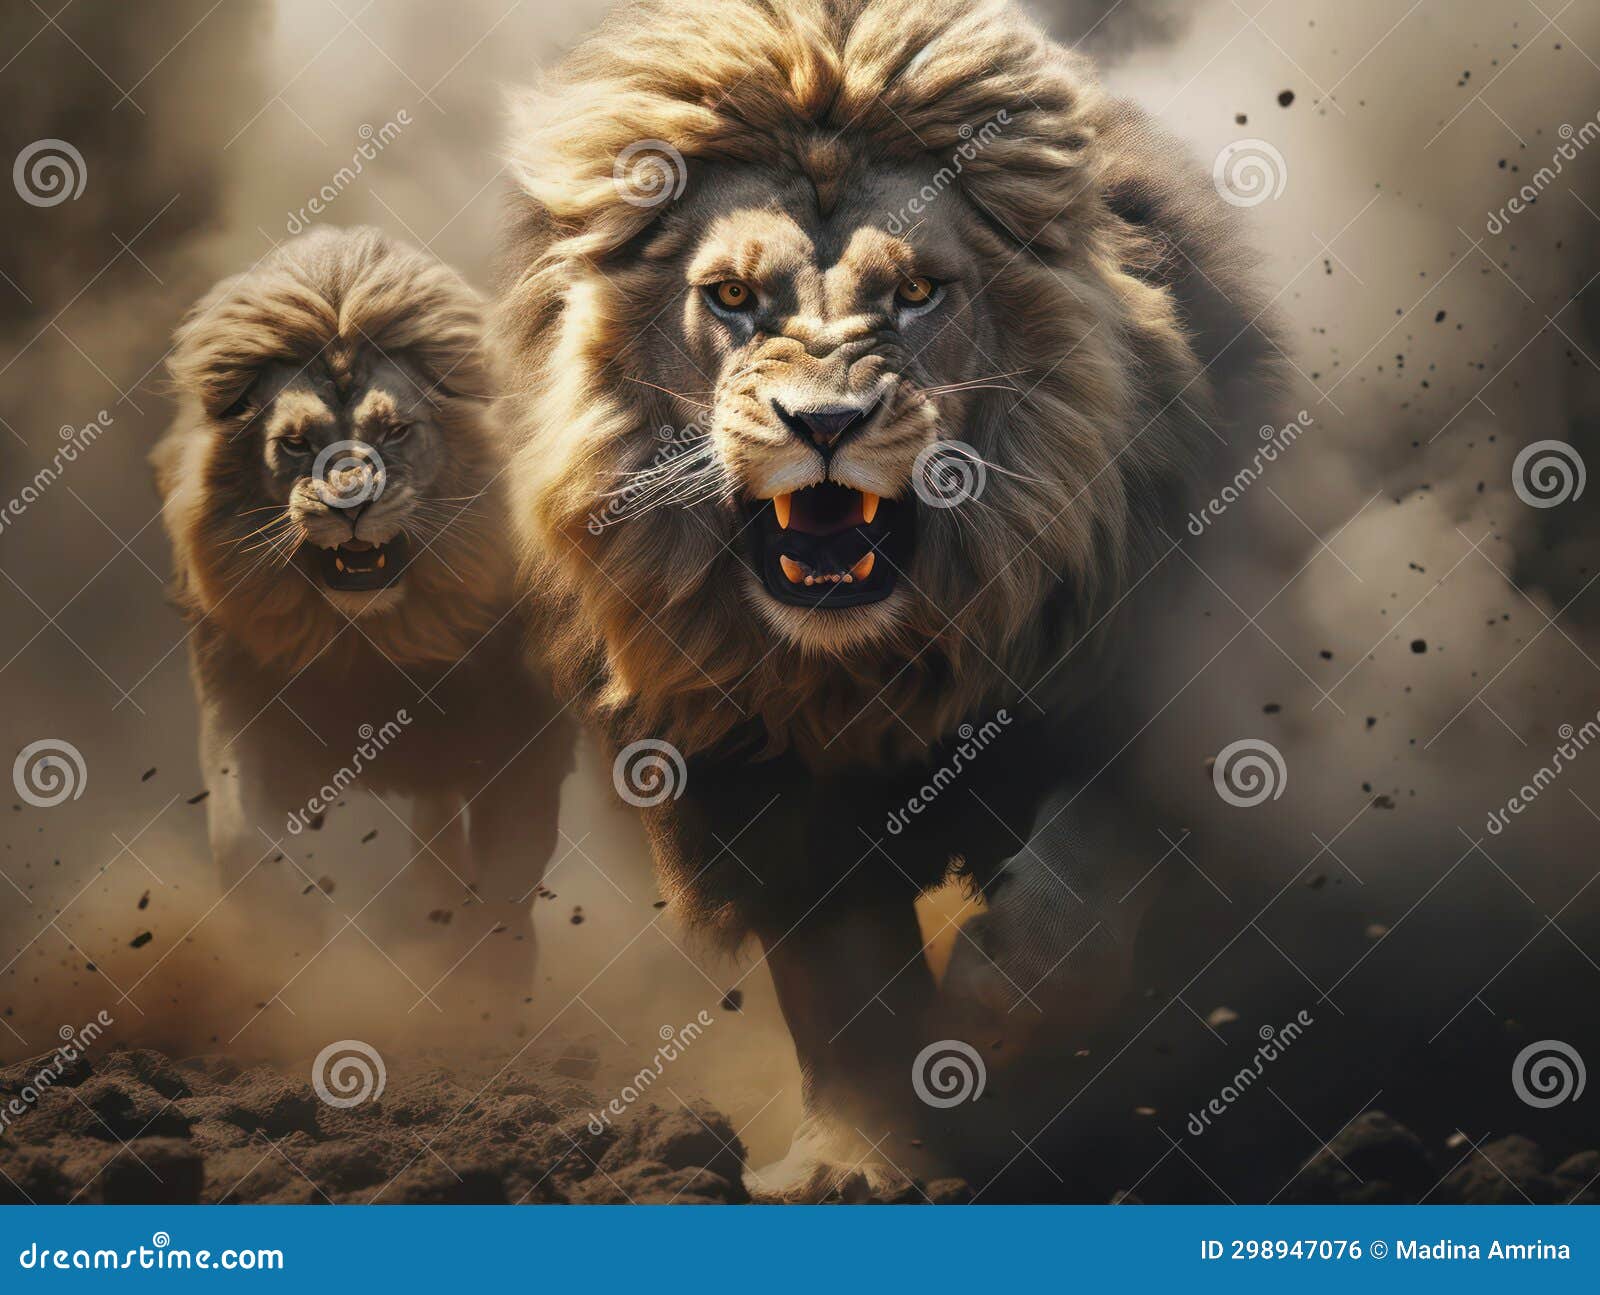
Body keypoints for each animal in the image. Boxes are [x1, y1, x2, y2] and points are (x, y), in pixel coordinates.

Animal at [154, 226, 573, 1021]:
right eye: (295, 443)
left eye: (396, 430)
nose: (350, 500)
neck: (370, 639)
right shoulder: (239, 710)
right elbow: (245, 845)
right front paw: (288, 959)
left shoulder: (521, 732)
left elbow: (508, 875)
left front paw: (487, 990)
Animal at [497, 0, 1281, 1194]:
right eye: (731, 295)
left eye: (916, 292)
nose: (824, 422)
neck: (871, 671)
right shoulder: (762, 788)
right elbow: (842, 996)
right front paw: (865, 1156)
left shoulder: (1163, 697)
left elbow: (1070, 914)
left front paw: (981, 1033)